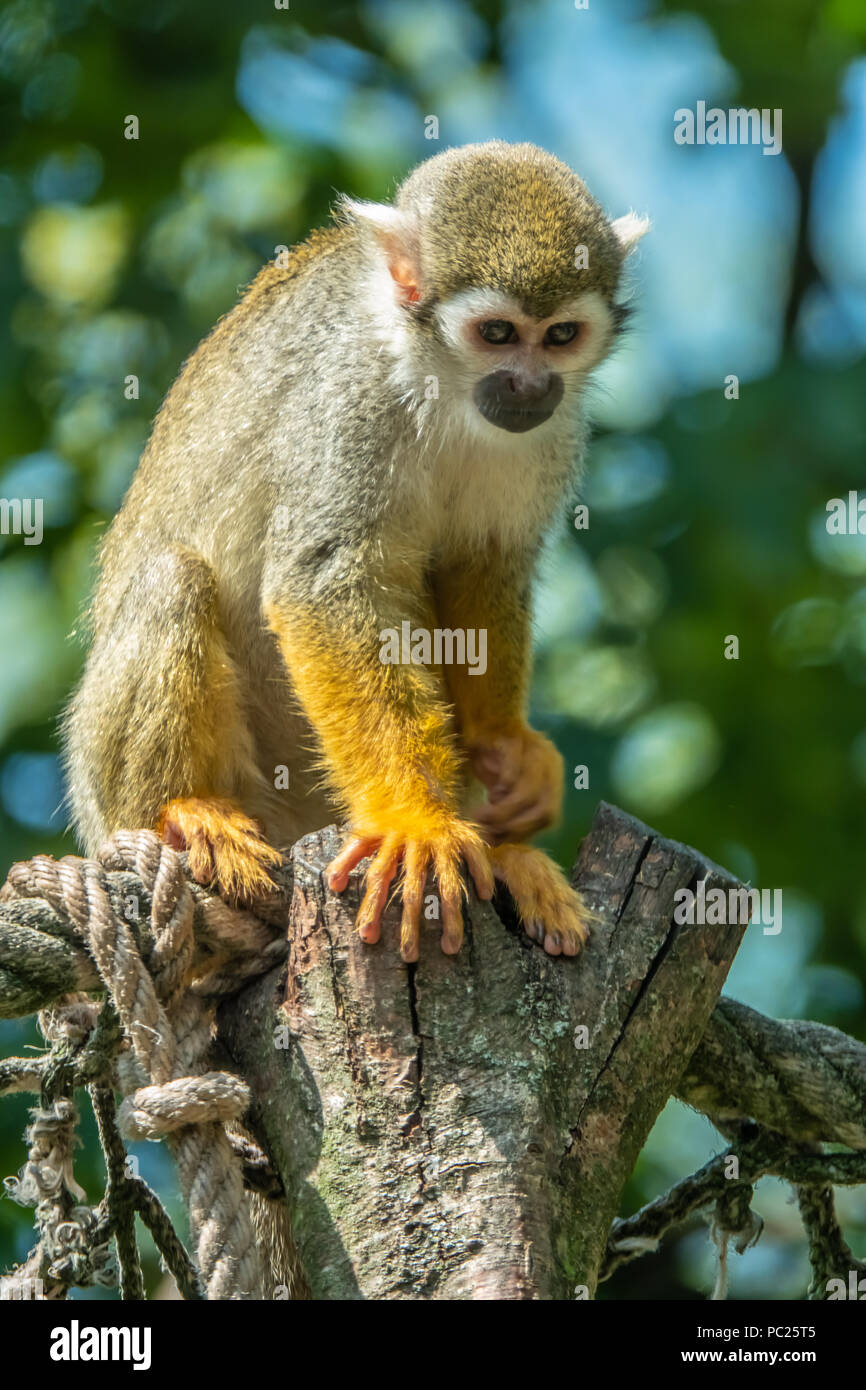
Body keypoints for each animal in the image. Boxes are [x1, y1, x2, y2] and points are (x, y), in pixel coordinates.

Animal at [63, 140, 648, 965]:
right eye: (498, 334)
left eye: (560, 336)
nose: (530, 386)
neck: (439, 378)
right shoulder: (348, 390)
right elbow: (323, 579)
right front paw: (416, 824)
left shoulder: (554, 430)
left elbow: (484, 564)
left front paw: (506, 749)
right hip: (112, 794)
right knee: (172, 578)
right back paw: (181, 811)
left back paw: (509, 860)